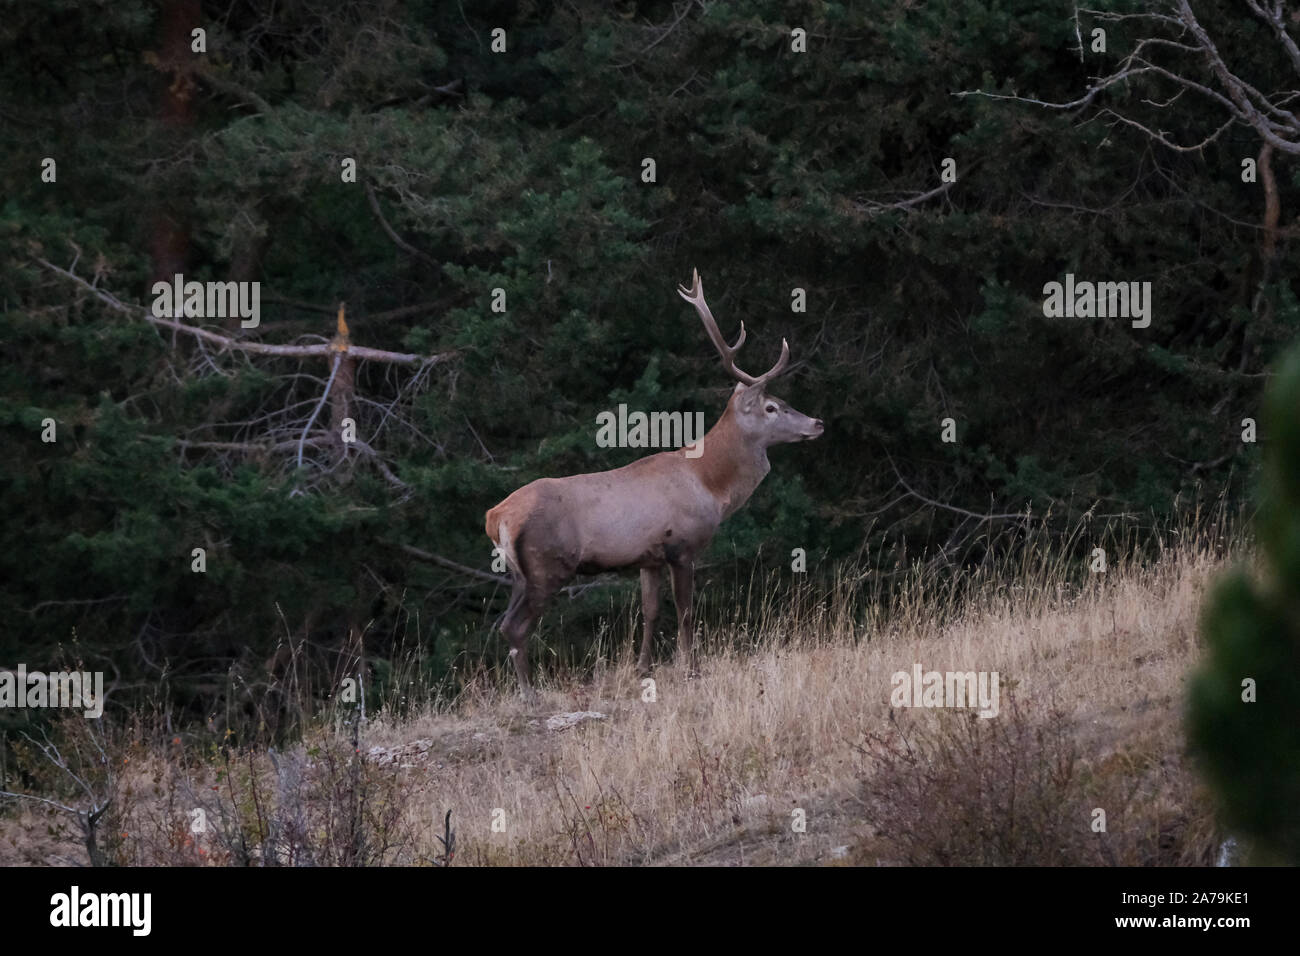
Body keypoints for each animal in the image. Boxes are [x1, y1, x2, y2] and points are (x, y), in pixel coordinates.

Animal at [485, 268, 823, 696]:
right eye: (772, 407)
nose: (818, 422)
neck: (710, 485)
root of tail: (495, 517)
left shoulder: (649, 557)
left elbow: (649, 611)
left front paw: (642, 668)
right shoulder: (682, 545)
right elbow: (685, 610)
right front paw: (690, 668)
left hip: (518, 572)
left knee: (504, 624)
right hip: (547, 564)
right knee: (514, 627)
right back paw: (530, 693)